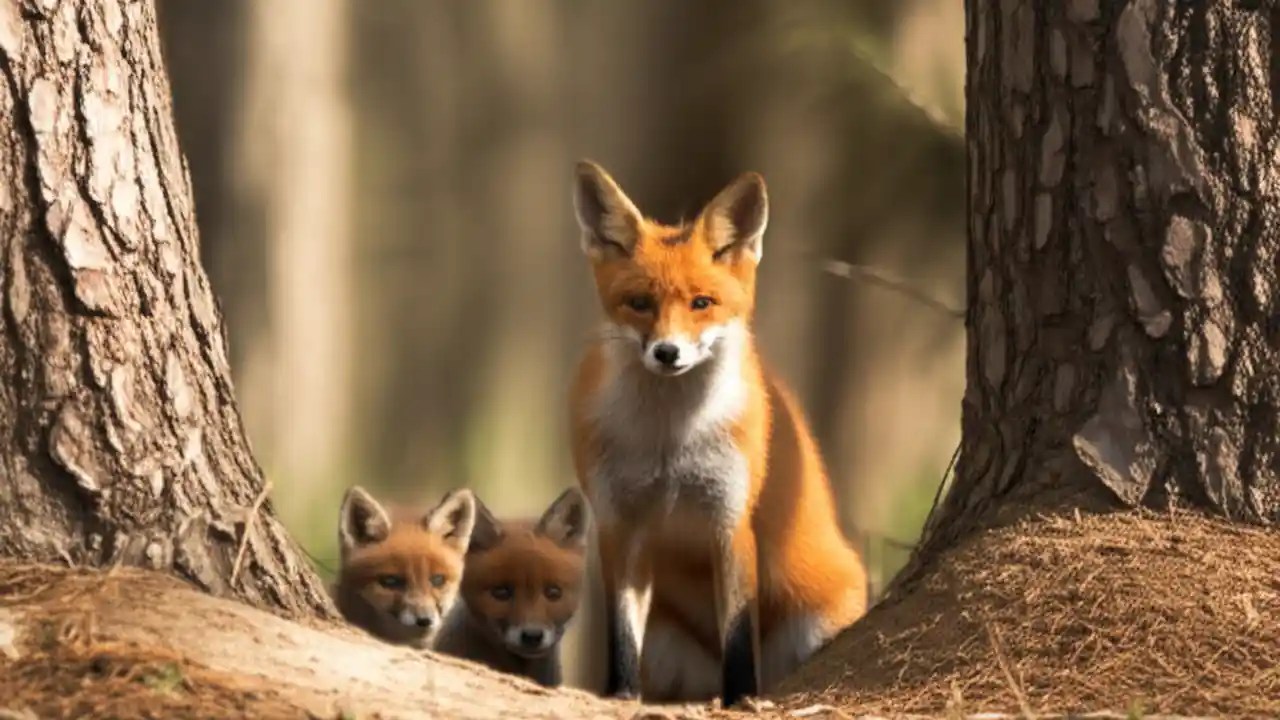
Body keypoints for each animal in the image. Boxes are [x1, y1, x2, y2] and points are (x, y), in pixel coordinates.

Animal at [567, 160, 868, 707]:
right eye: (639, 303)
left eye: (701, 302)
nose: (667, 353)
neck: (669, 444)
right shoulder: (619, 523)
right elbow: (620, 635)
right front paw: (620, 695)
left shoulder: (729, 519)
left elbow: (738, 634)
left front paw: (742, 700)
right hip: (667, 645)